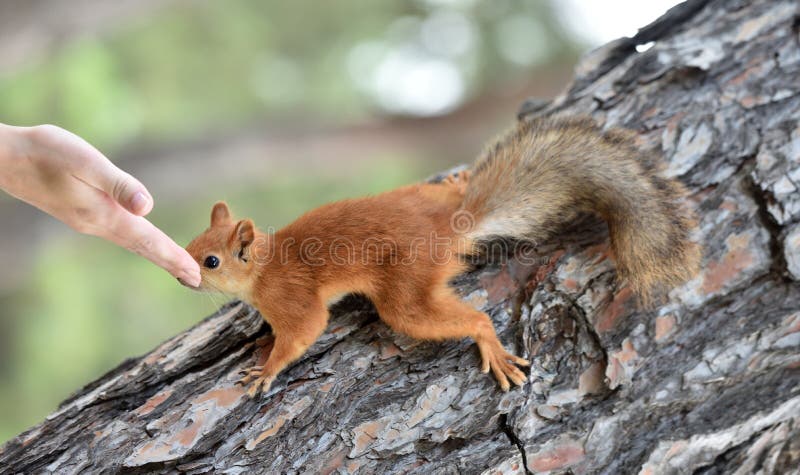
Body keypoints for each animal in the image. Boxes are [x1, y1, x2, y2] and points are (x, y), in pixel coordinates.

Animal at [183, 116, 700, 396]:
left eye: (211, 262)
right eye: (191, 243)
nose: (183, 276)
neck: (263, 268)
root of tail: (450, 227)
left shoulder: (293, 298)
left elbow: (303, 332)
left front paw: (266, 368)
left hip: (406, 291)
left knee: (469, 319)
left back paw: (492, 346)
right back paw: (456, 182)